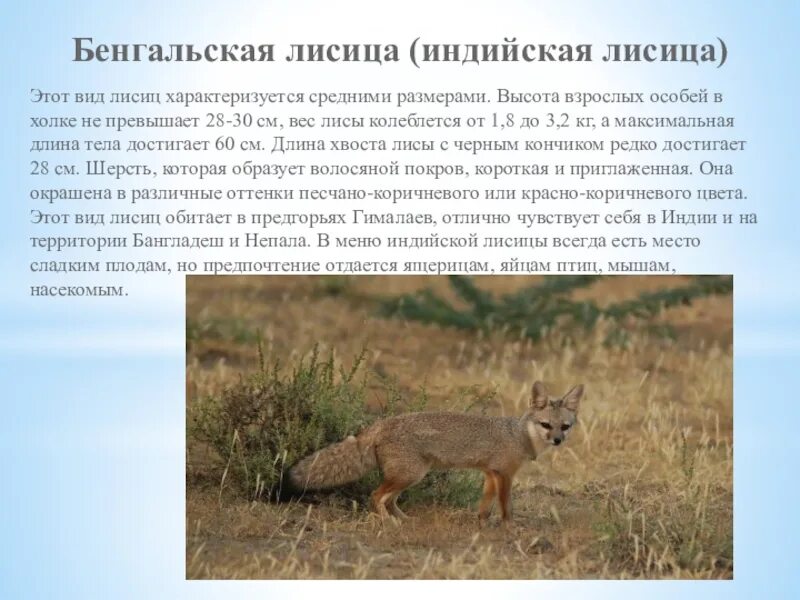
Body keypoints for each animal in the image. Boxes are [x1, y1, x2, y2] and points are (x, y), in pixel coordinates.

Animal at [281, 381, 583, 522]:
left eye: (565, 426)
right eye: (546, 425)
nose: (558, 440)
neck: (519, 434)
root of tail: (381, 423)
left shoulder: (489, 474)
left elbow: (484, 507)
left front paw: (481, 524)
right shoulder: (504, 475)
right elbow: (506, 506)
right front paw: (509, 528)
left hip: (411, 476)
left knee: (389, 500)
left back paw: (403, 519)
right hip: (408, 475)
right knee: (375, 496)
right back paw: (388, 523)